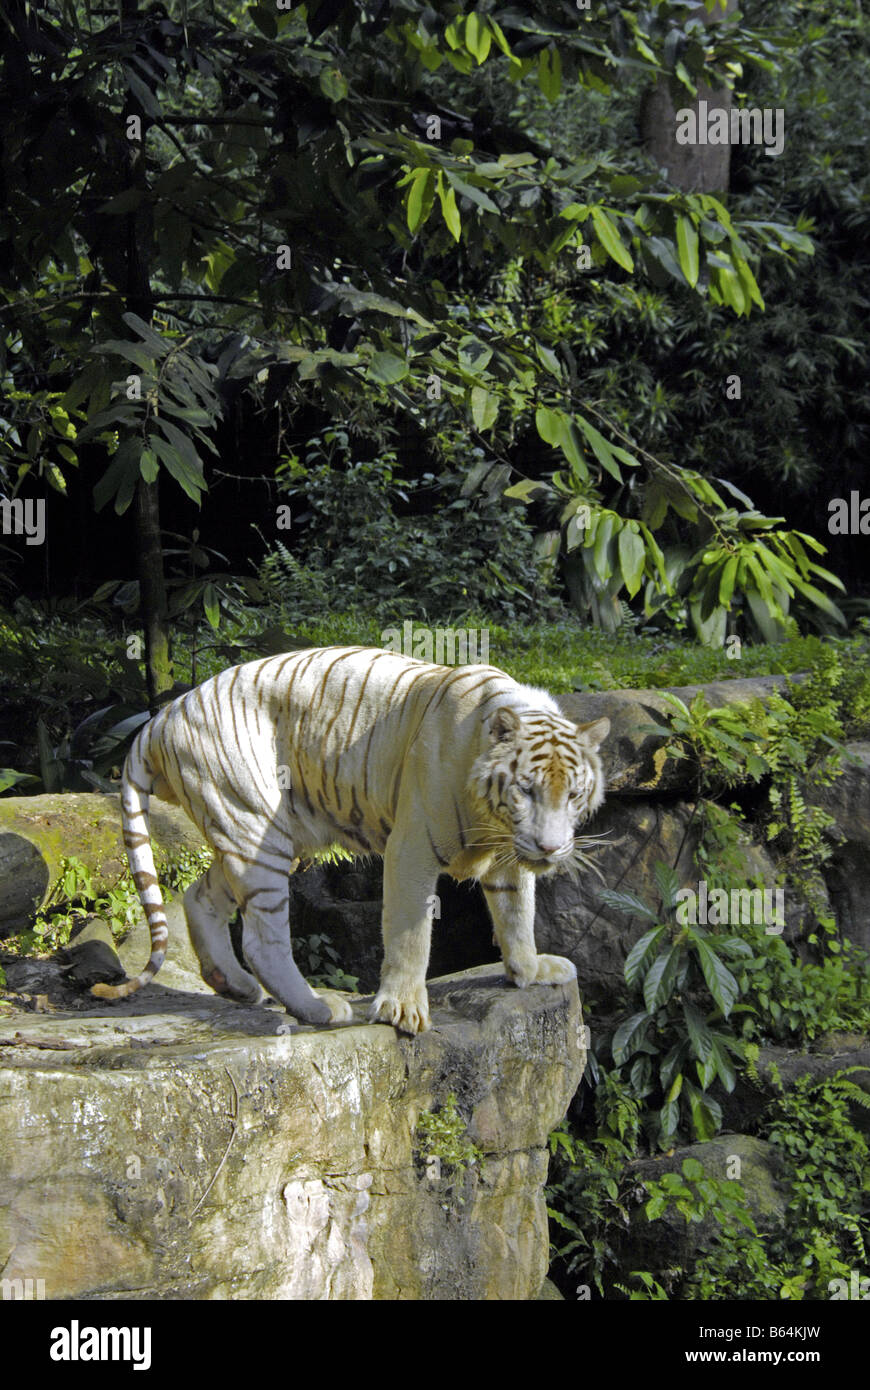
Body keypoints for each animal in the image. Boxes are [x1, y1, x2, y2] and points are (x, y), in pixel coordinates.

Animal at [92, 646, 609, 1035]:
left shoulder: (508, 855)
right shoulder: (412, 845)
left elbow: (517, 914)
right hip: (255, 823)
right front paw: (402, 1009)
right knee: (262, 941)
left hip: (255, 829)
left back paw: (233, 984)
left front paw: (531, 971)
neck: (495, 822)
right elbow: (411, 934)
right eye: (526, 789)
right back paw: (319, 1008)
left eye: (573, 794)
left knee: (199, 895)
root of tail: (158, 719)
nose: (550, 849)